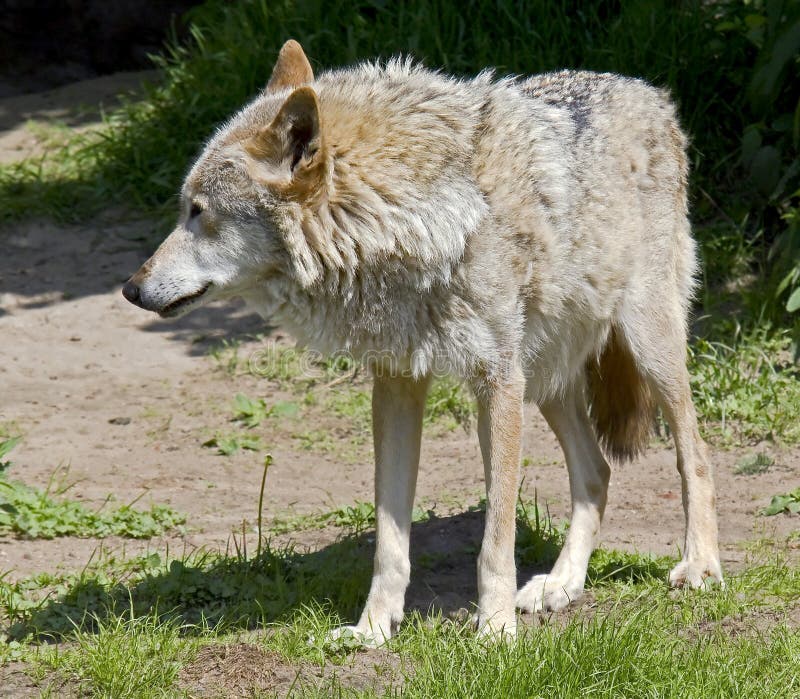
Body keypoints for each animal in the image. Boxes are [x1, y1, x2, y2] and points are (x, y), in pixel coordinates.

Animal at [123, 40, 723, 644]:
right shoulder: (397, 385)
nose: (130, 289)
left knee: (694, 454)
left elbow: (496, 539)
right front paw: (373, 627)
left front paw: (495, 630)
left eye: (199, 213)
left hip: (645, 347)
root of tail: (646, 91)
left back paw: (699, 565)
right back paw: (561, 584)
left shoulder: (495, 383)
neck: (404, 219)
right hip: (544, 378)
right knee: (596, 473)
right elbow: (390, 538)